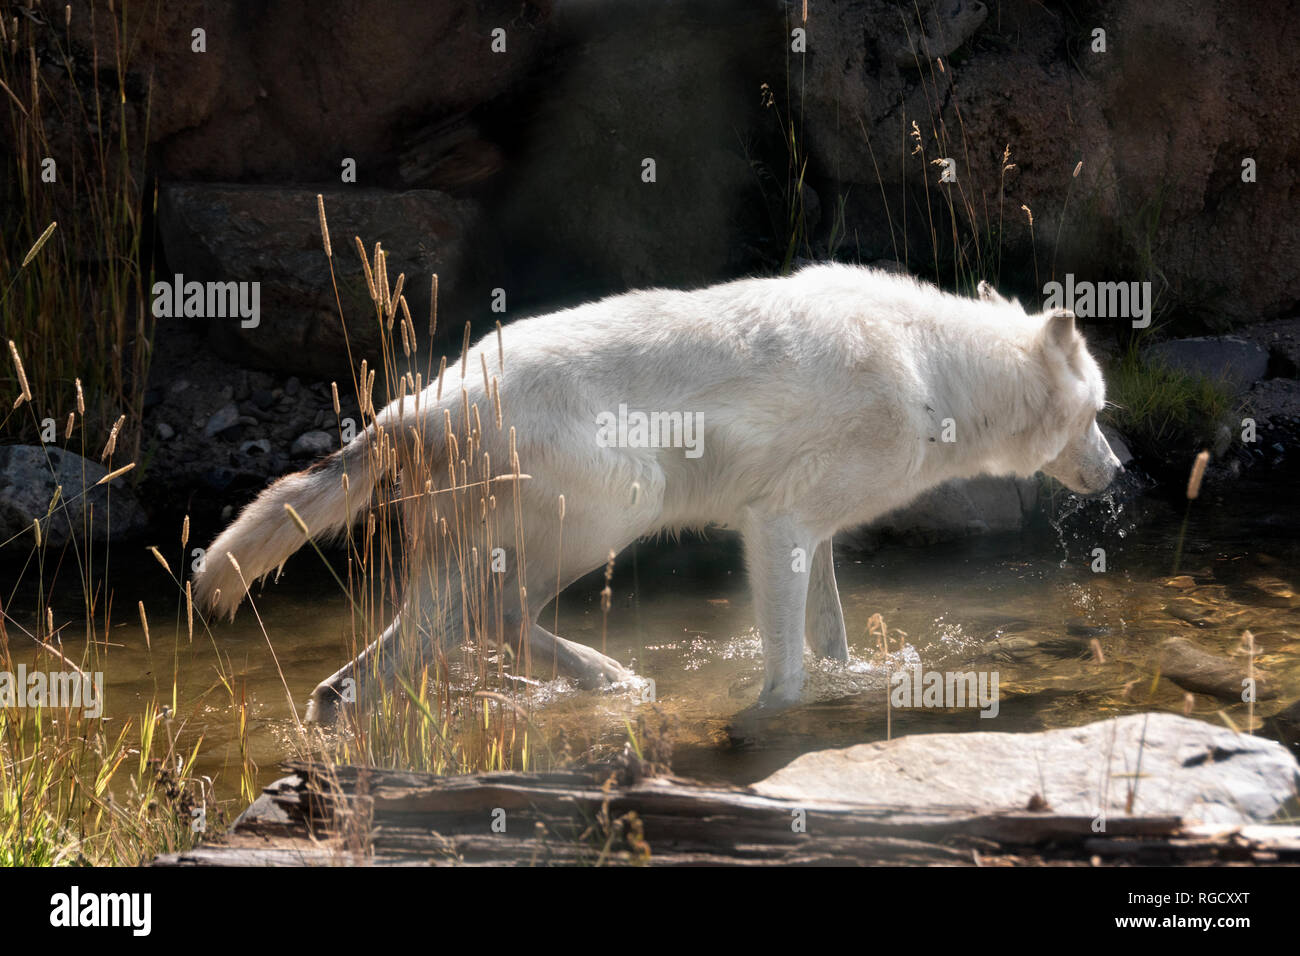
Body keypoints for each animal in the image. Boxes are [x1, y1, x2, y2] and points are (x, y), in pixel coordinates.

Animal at [192, 263, 1122, 723]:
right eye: (1098, 414)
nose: (1119, 473)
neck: (936, 372)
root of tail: (417, 406)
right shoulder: (777, 526)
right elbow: (788, 672)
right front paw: (768, 722)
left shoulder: (812, 536)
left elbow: (833, 647)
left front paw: (847, 687)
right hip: (623, 505)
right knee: (487, 620)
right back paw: (612, 680)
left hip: (471, 568)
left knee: (391, 659)